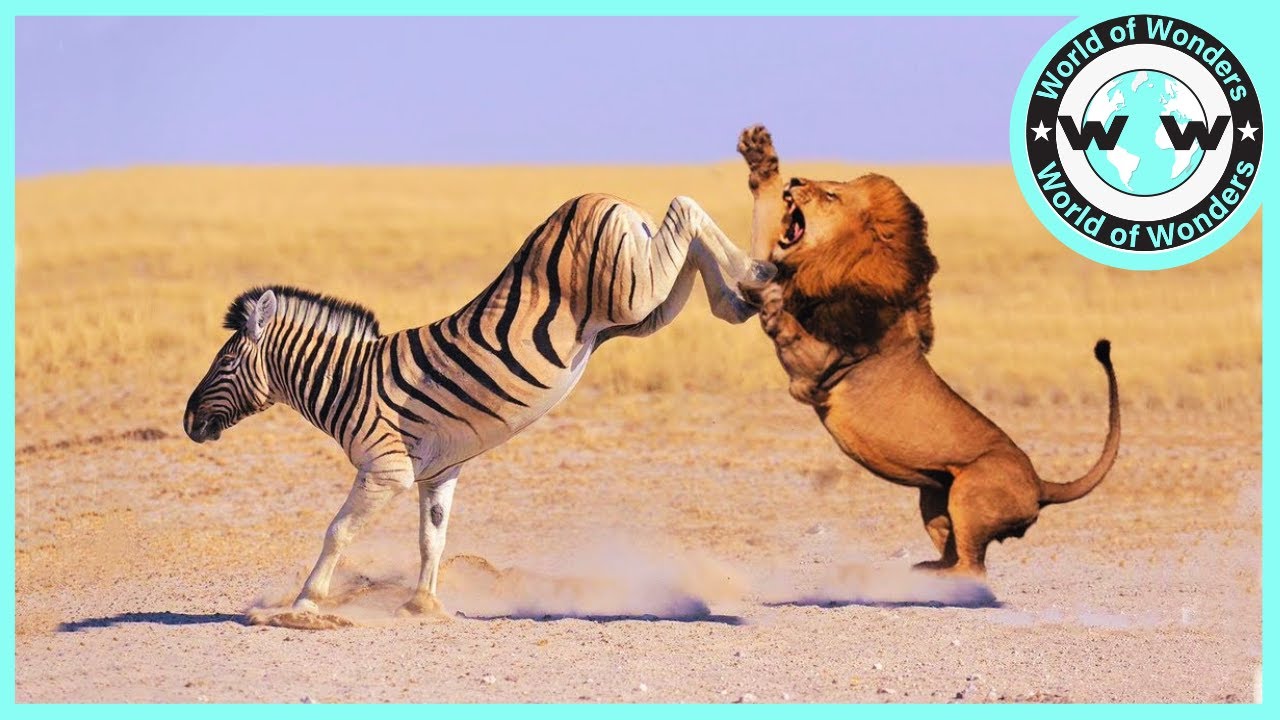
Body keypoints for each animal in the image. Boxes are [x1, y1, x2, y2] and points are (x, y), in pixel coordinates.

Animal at [183, 193, 773, 617]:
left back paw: (751, 275)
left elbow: (338, 531)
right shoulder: (436, 473)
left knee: (685, 208)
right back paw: (740, 294)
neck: (348, 382)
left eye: (224, 363)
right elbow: (432, 539)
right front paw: (422, 605)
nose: (188, 422)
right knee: (687, 245)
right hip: (642, 310)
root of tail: (600, 197)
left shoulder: (385, 470)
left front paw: (304, 602)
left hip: (632, 291)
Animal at [736, 125, 1120, 577]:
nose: (795, 182)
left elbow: (789, 326)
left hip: (971, 489)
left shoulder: (823, 368)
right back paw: (926, 569)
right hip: (934, 497)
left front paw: (770, 298)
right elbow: (763, 233)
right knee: (955, 552)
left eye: (830, 194)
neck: (827, 266)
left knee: (973, 566)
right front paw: (761, 158)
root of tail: (1040, 482)